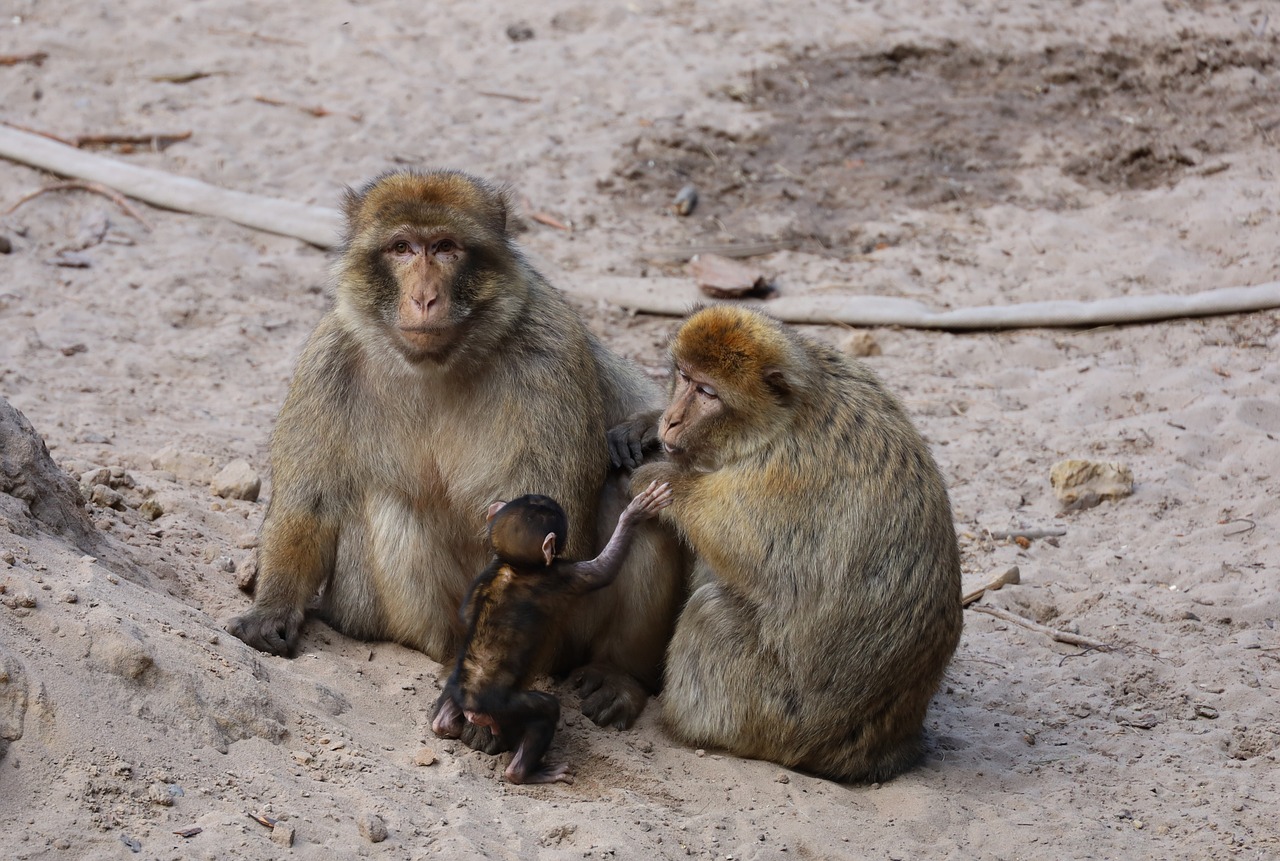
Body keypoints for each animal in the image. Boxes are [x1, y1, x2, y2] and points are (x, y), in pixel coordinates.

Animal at [225, 169, 685, 737]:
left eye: (445, 247)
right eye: (402, 248)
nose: (424, 297)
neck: (436, 362)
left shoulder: (549, 352)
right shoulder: (327, 360)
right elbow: (307, 505)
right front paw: (272, 608)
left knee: (635, 491)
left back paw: (617, 674)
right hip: (369, 609)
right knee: (390, 504)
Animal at [432, 481, 673, 784]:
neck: (515, 567)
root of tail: (471, 705)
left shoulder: (488, 573)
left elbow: (465, 615)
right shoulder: (564, 575)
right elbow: (604, 569)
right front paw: (635, 513)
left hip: (459, 692)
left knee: (443, 719)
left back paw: (445, 723)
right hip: (503, 708)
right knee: (545, 712)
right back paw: (526, 772)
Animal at [611, 305, 962, 783]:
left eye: (707, 392)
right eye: (683, 376)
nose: (672, 420)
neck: (781, 420)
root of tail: (879, 750)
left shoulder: (788, 471)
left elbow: (748, 546)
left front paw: (664, 478)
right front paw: (647, 426)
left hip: (778, 715)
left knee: (712, 611)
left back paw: (684, 723)